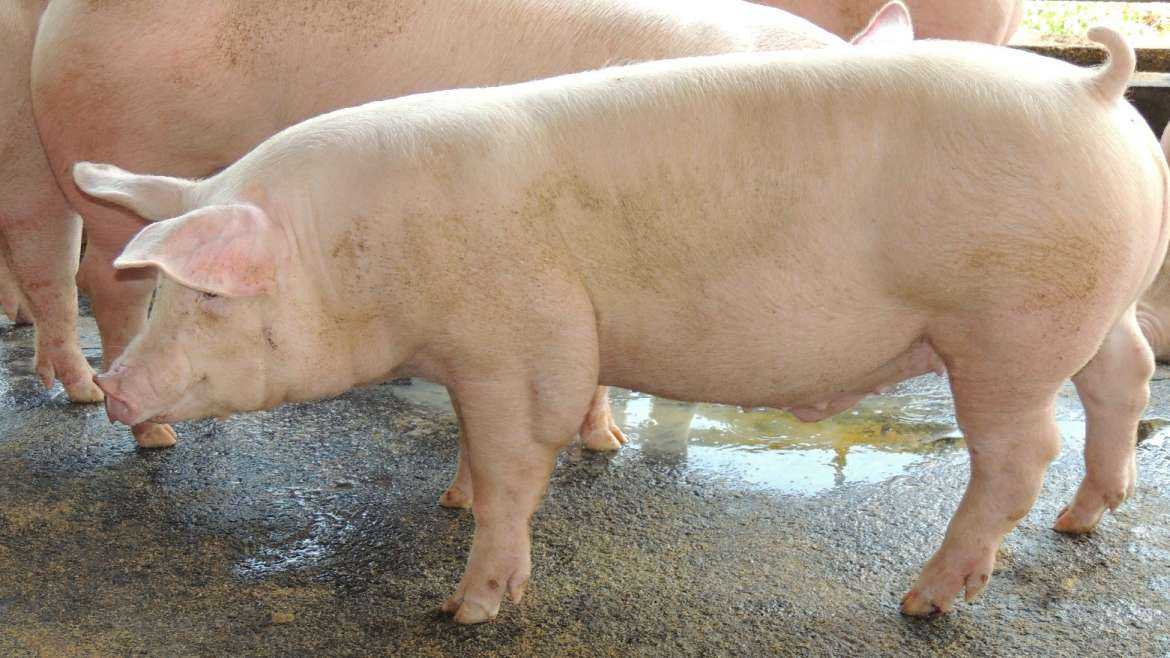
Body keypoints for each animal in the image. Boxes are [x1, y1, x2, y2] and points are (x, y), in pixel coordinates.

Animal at [76, 28, 1165, 622]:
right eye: (162, 295)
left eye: (209, 297)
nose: (114, 389)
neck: (373, 249)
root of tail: (1094, 86)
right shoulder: (474, 357)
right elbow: (474, 449)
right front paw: (451, 500)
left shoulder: (523, 340)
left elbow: (518, 464)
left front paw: (467, 603)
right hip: (1088, 308)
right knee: (1124, 371)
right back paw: (1085, 518)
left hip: (1005, 330)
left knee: (1022, 451)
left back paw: (925, 599)